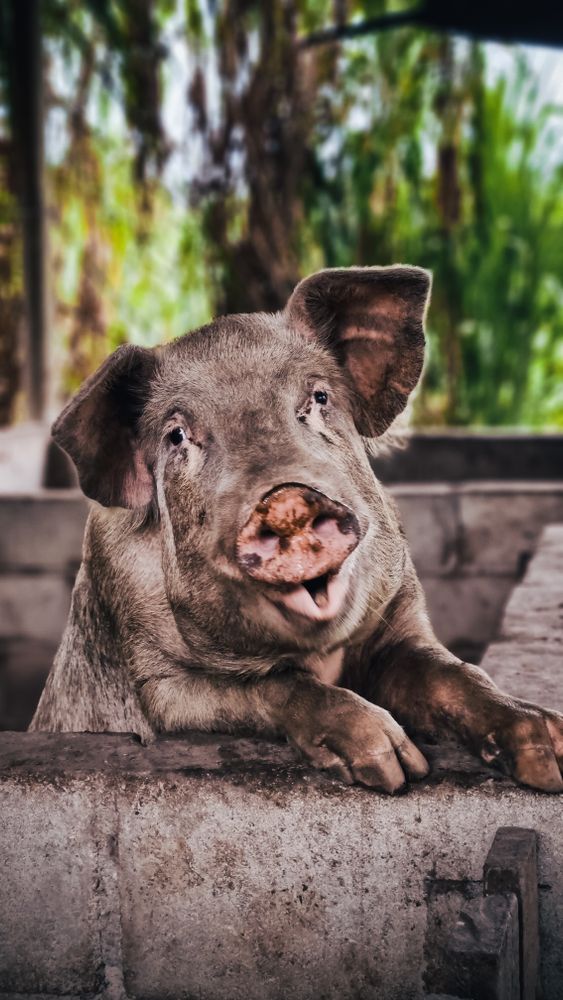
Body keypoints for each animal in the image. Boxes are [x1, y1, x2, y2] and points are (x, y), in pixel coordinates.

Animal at [30, 265, 563, 794]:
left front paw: (548, 758)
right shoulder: (157, 681)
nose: (285, 500)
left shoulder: (400, 615)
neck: (320, 653)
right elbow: (274, 685)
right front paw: (393, 768)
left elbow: (455, 675)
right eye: (177, 436)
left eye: (318, 397)